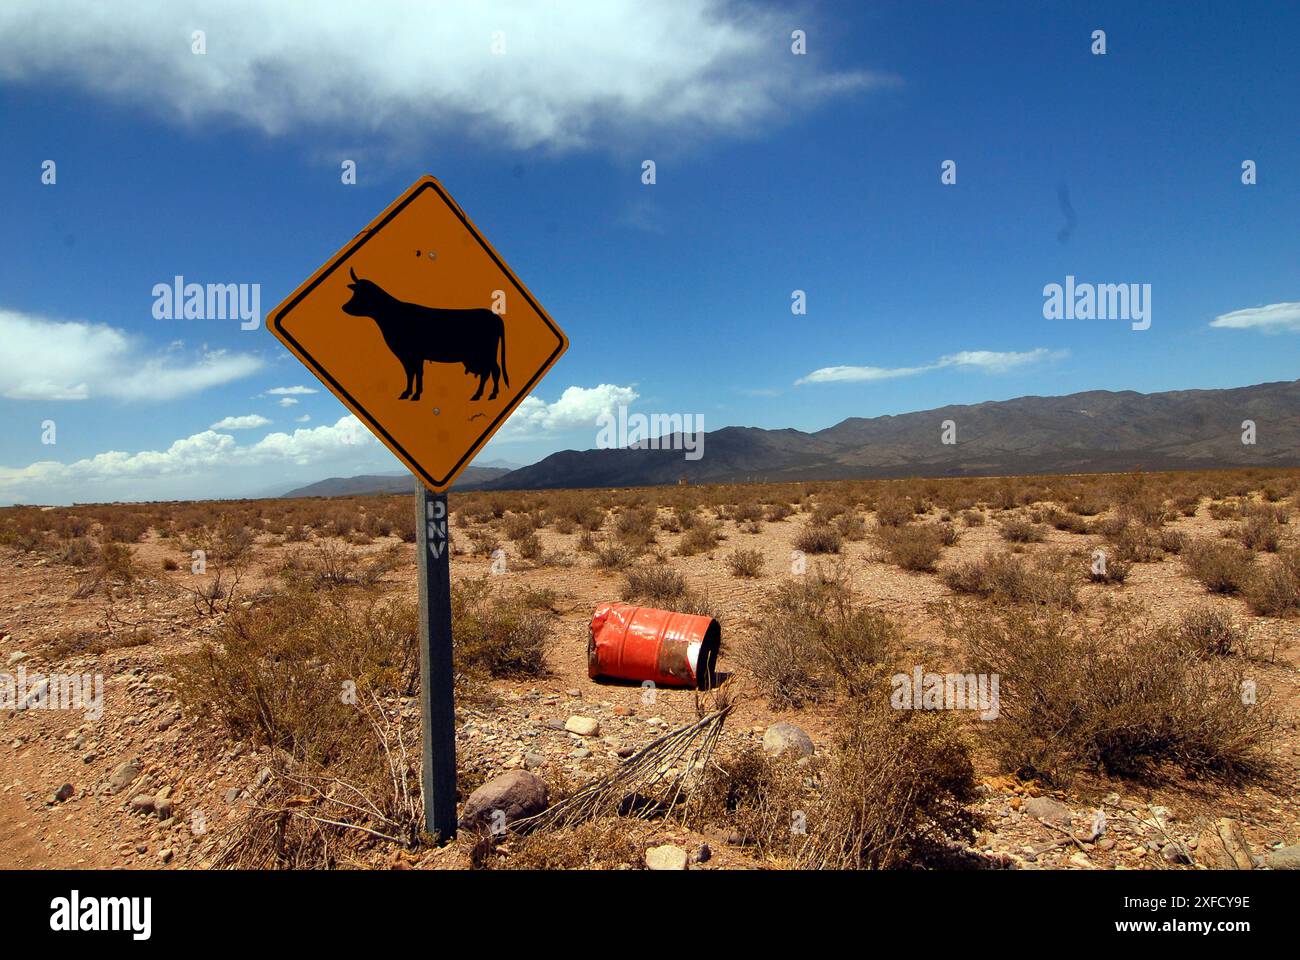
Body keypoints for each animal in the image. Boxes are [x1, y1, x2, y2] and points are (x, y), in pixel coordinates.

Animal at [341, 267, 508, 402]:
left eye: (362, 293)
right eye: (355, 291)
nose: (344, 307)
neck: (392, 316)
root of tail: (494, 315)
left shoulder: (414, 354)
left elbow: (417, 373)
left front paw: (415, 394)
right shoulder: (406, 356)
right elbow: (410, 373)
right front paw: (408, 393)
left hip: (486, 353)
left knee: (492, 371)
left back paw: (484, 395)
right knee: (492, 371)